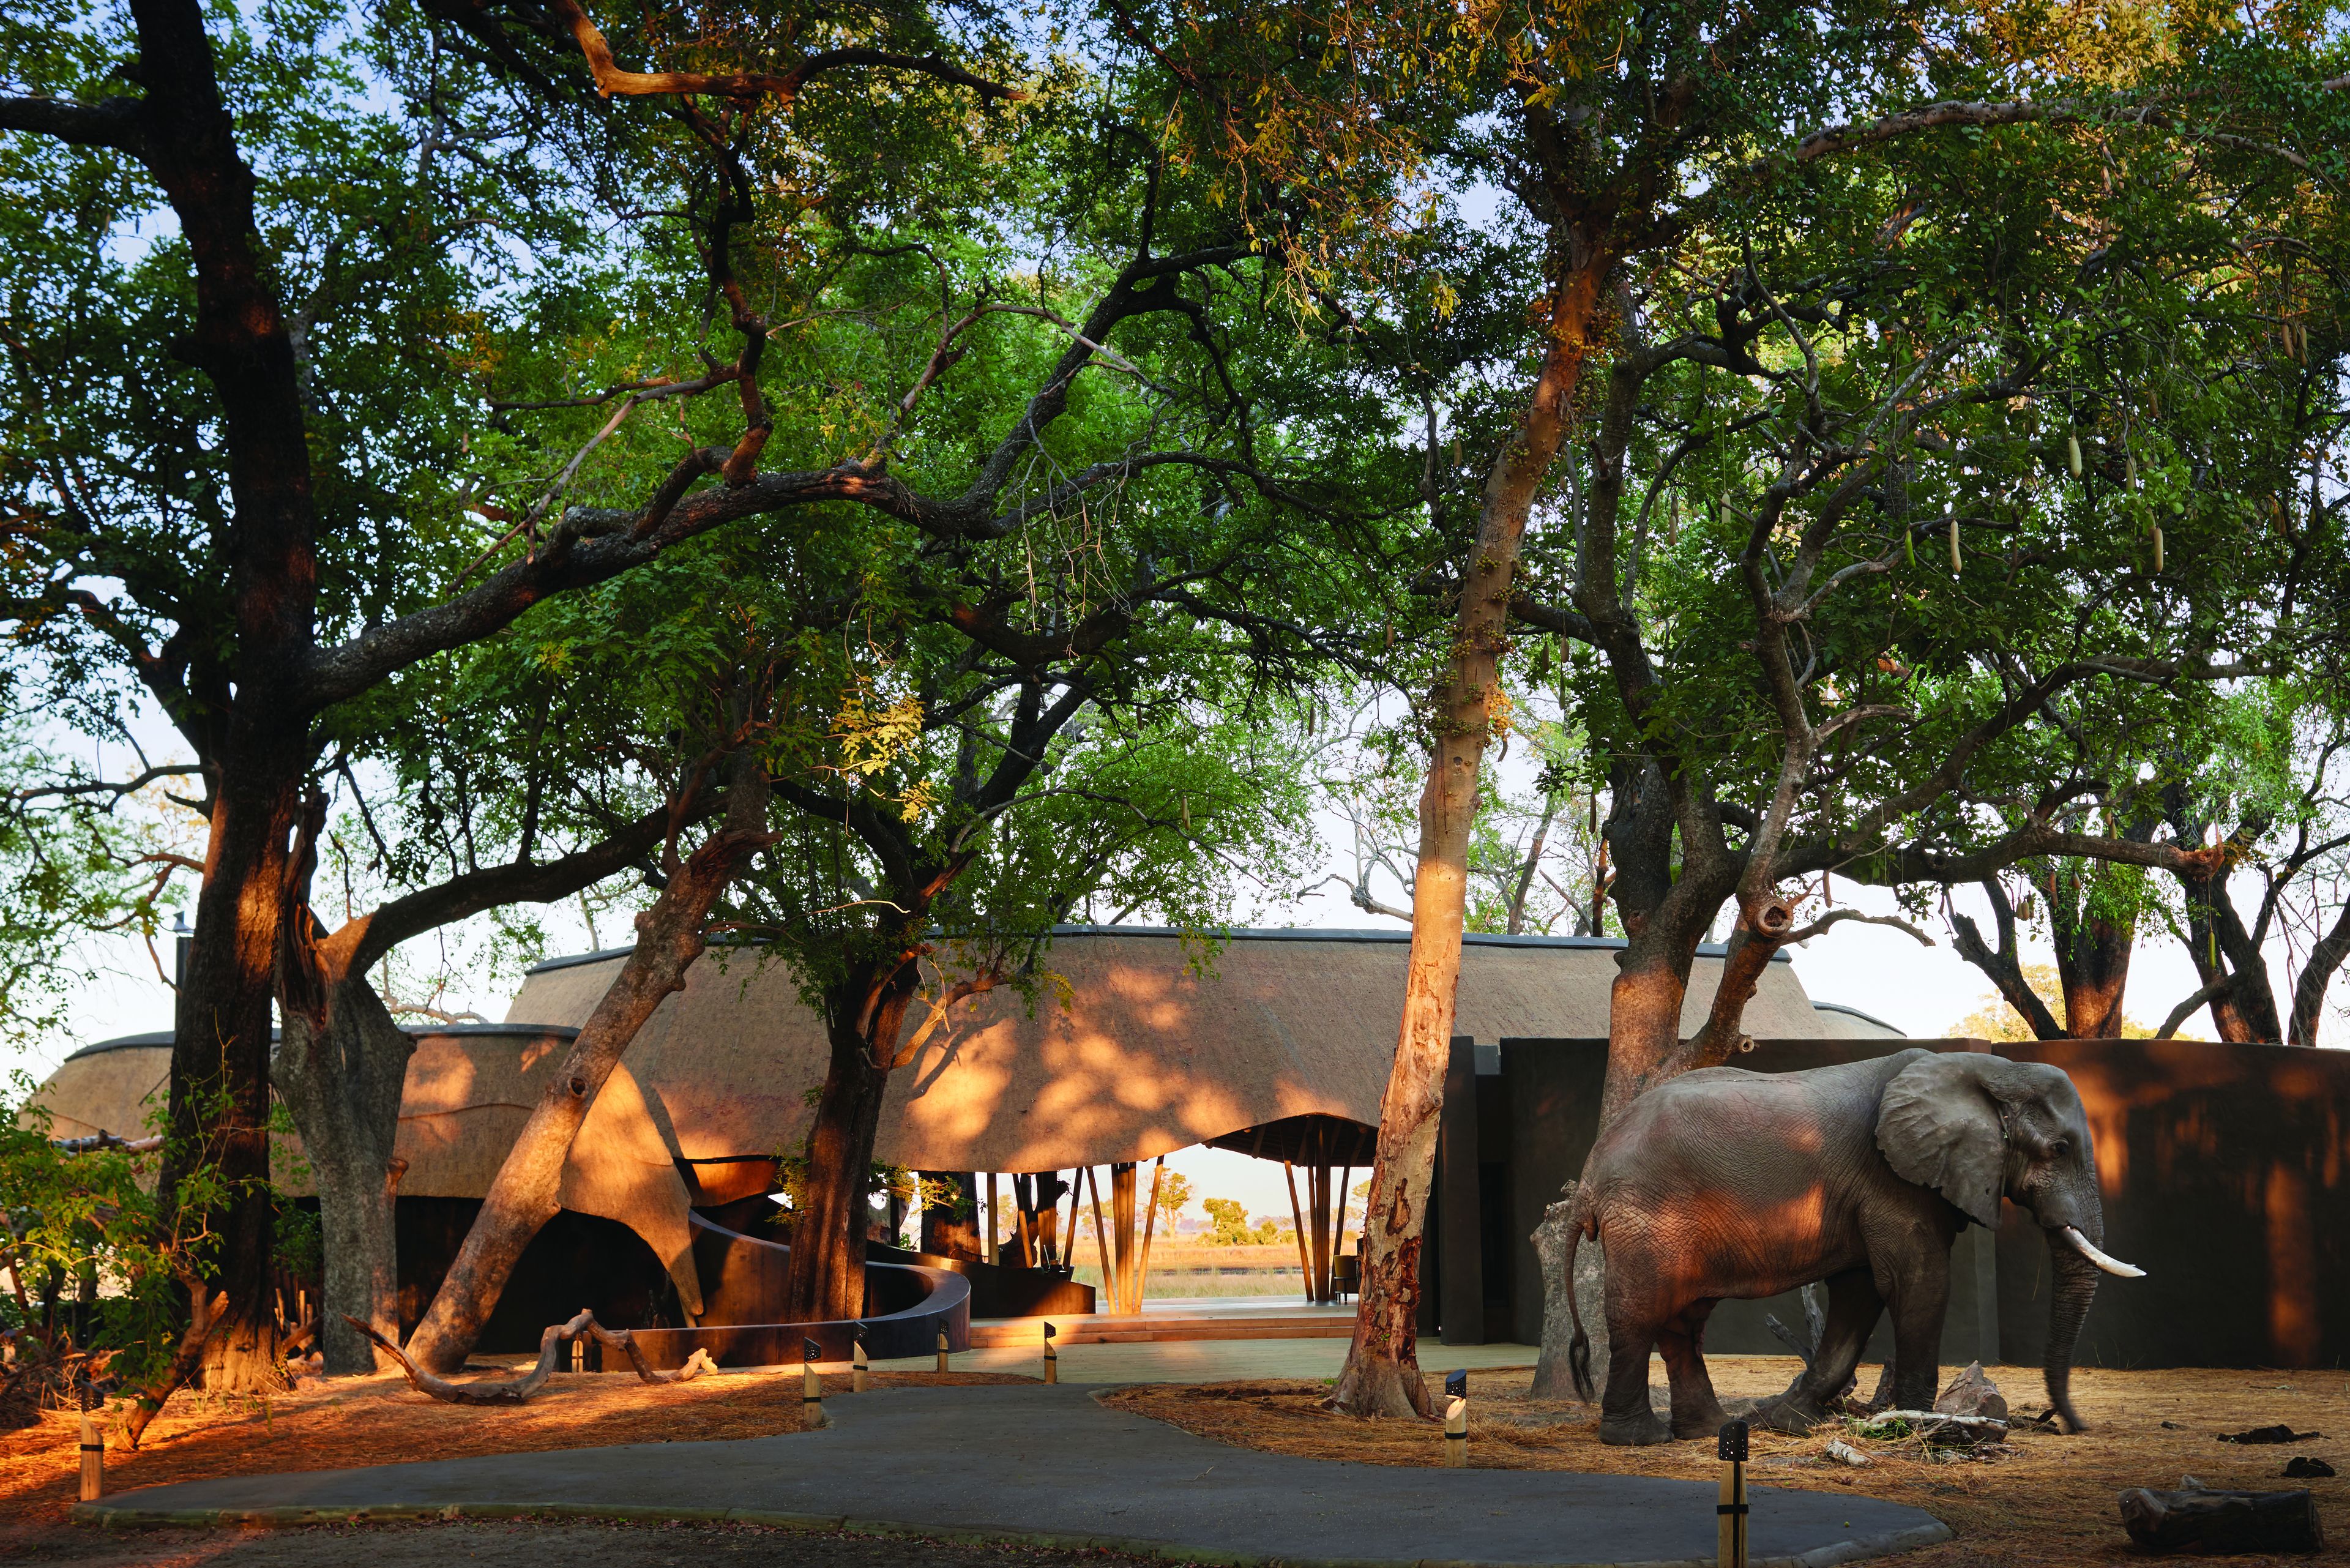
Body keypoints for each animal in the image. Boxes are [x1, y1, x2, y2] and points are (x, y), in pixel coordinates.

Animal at [1562, 1047, 2143, 1446]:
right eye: (2060, 1149)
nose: (2073, 1426)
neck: (1986, 1069)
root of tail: (1588, 1175)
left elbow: (1860, 1292)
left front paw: (1787, 1421)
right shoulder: (1892, 1178)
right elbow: (1916, 1283)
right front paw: (1919, 1425)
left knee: (1684, 1321)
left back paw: (1714, 1430)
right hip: (1646, 1214)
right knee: (1641, 1312)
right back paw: (1637, 1438)